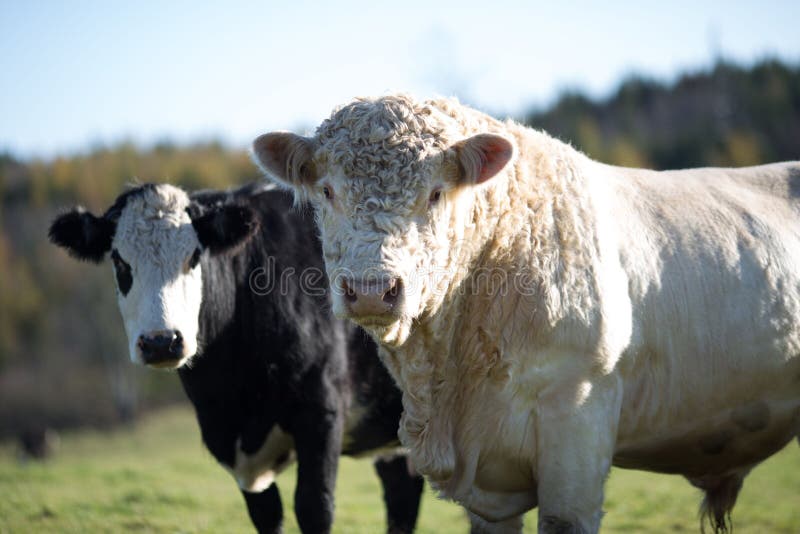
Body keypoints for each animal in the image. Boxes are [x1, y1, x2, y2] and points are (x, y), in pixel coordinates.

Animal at [48, 182, 424, 534]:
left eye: (194, 257)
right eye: (120, 261)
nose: (161, 342)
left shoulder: (321, 413)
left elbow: (314, 507)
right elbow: (266, 515)